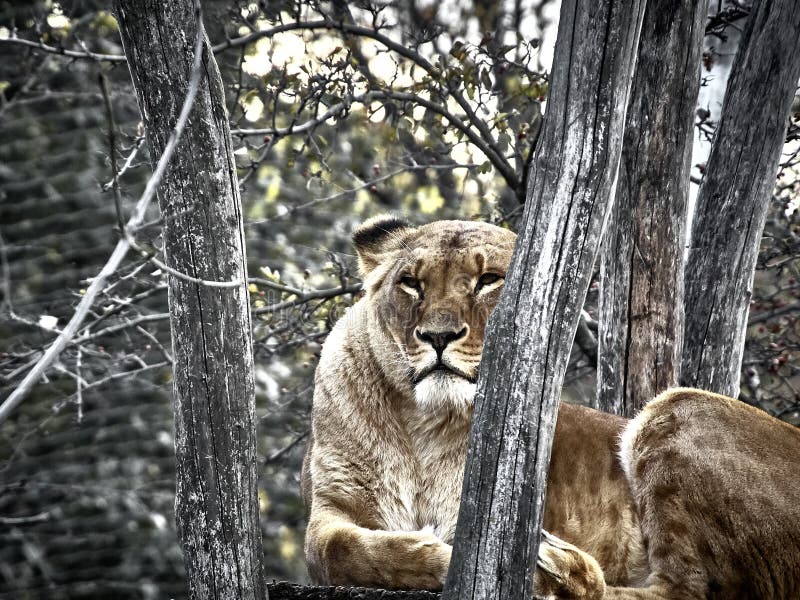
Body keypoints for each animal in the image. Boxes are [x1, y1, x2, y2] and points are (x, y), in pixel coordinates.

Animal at [302, 216, 800, 599]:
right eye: (411, 284)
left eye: (488, 280)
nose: (438, 336)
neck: (423, 425)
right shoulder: (332, 505)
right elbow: (336, 551)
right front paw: (427, 549)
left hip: (679, 409)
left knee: (692, 590)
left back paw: (563, 569)